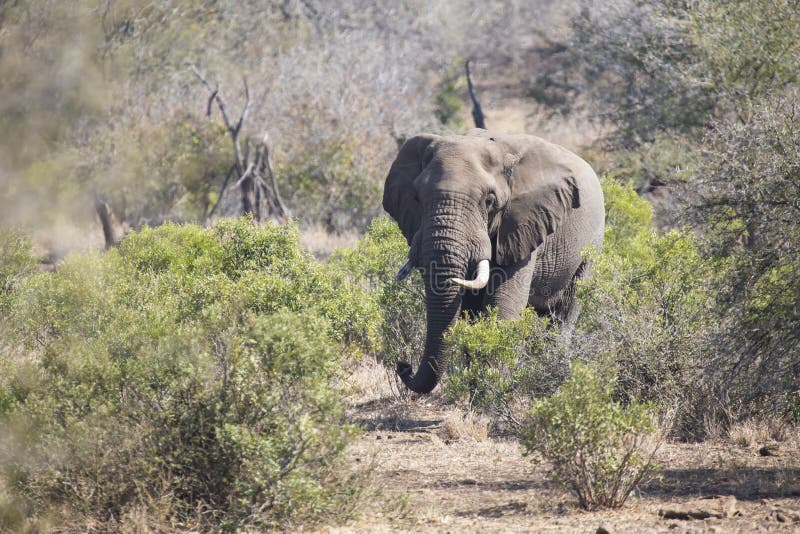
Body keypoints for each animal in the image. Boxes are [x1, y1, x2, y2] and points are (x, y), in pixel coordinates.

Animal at [383, 129, 604, 394]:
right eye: (417, 198)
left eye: (489, 201)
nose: (403, 365)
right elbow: (469, 311)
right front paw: (476, 388)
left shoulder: (522, 224)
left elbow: (502, 306)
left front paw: (492, 388)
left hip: (592, 244)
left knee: (565, 312)